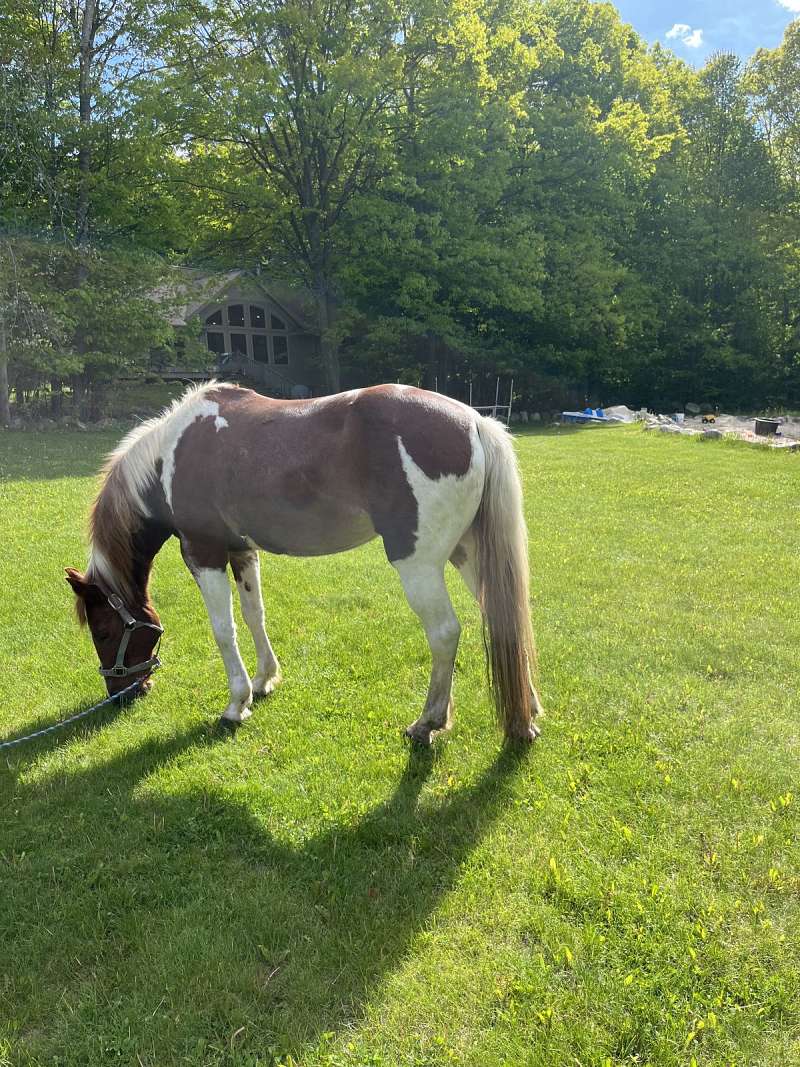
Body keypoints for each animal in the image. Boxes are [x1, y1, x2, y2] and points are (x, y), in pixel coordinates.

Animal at [65, 382, 543, 745]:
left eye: (104, 631)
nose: (122, 694)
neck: (173, 454)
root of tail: (474, 422)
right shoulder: (242, 551)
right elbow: (254, 615)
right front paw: (264, 680)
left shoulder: (203, 555)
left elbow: (224, 629)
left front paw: (237, 703)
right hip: (469, 553)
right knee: (504, 617)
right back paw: (528, 712)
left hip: (420, 567)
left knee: (444, 634)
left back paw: (428, 722)